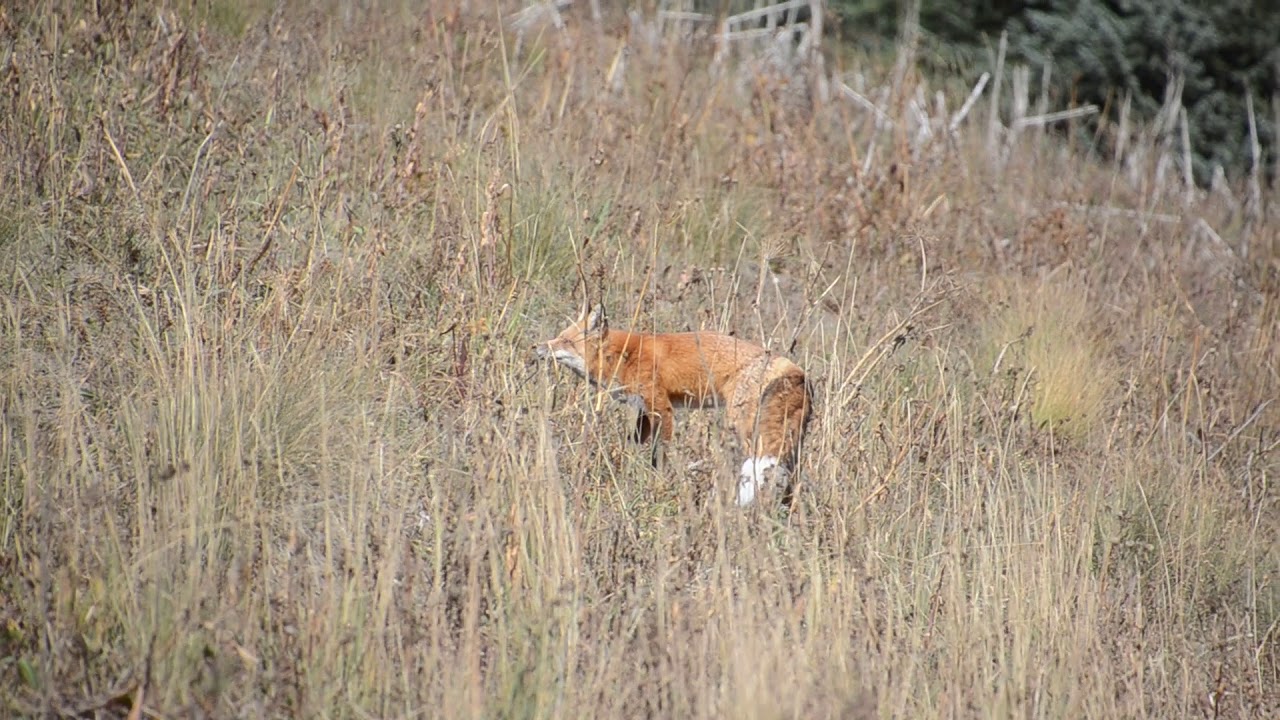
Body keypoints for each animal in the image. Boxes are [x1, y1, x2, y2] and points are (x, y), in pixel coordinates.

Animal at [535, 304, 812, 506]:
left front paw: (657, 487)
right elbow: (634, 444)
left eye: (565, 342)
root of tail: (795, 371)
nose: (537, 348)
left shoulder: (662, 409)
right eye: (559, 337)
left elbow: (660, 457)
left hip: (743, 428)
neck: (624, 355)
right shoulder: (643, 411)